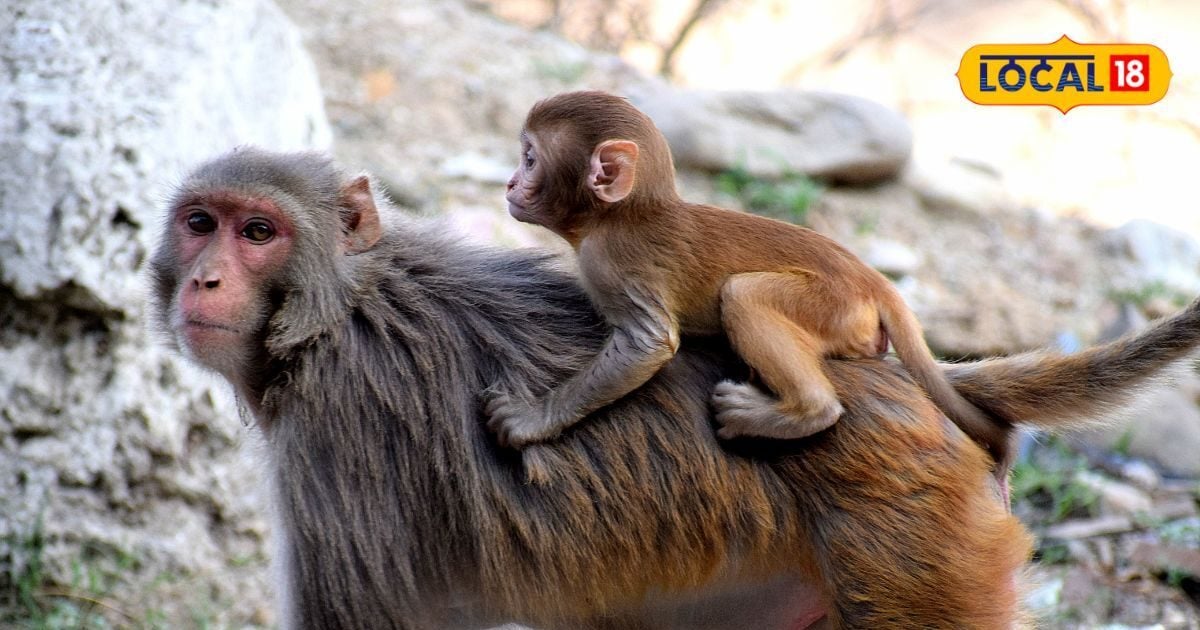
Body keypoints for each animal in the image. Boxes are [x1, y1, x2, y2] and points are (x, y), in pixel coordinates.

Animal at [150, 147, 1200, 629]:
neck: (336, 313)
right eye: (201, 222)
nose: (206, 281)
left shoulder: (339, 442)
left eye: (258, 232)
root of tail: (900, 383)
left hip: (919, 552)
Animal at [483, 90, 1013, 478]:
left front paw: (533, 419)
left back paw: (801, 412)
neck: (619, 215)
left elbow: (648, 344)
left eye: (529, 159)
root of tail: (872, 281)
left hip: (832, 306)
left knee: (745, 295)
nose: (509, 184)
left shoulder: (612, 261)